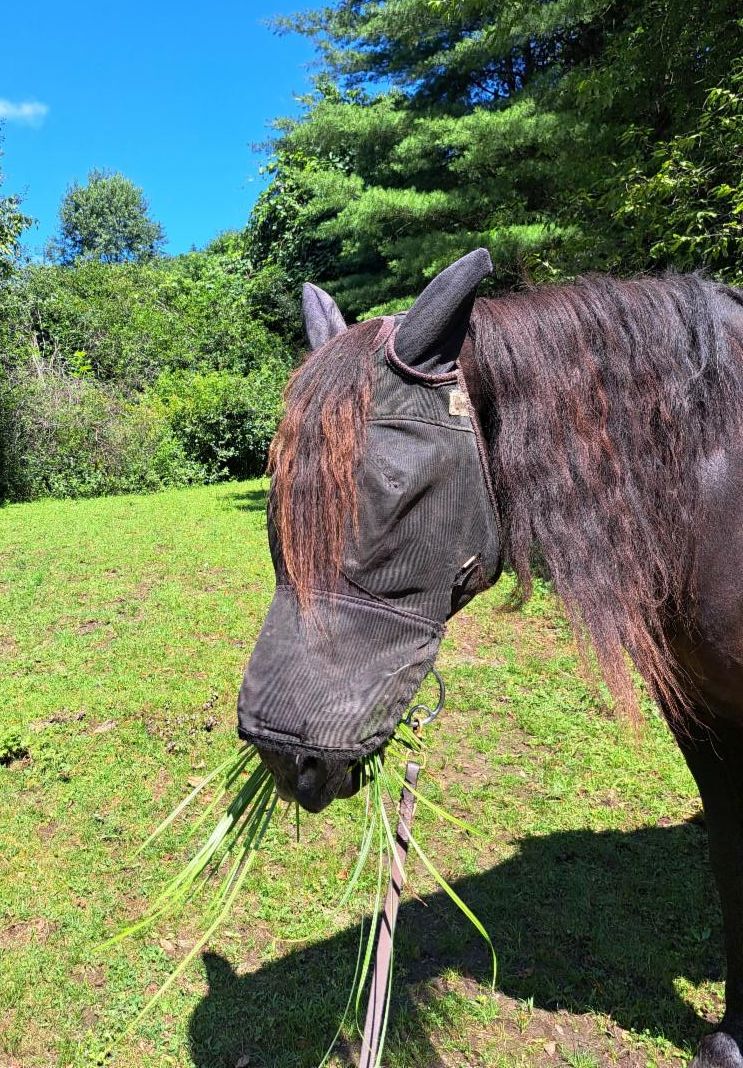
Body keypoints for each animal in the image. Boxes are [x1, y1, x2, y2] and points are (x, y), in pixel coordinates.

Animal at [237, 250, 743, 1067]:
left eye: (398, 497)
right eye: (277, 496)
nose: (285, 756)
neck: (719, 492)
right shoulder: (704, 717)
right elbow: (730, 861)